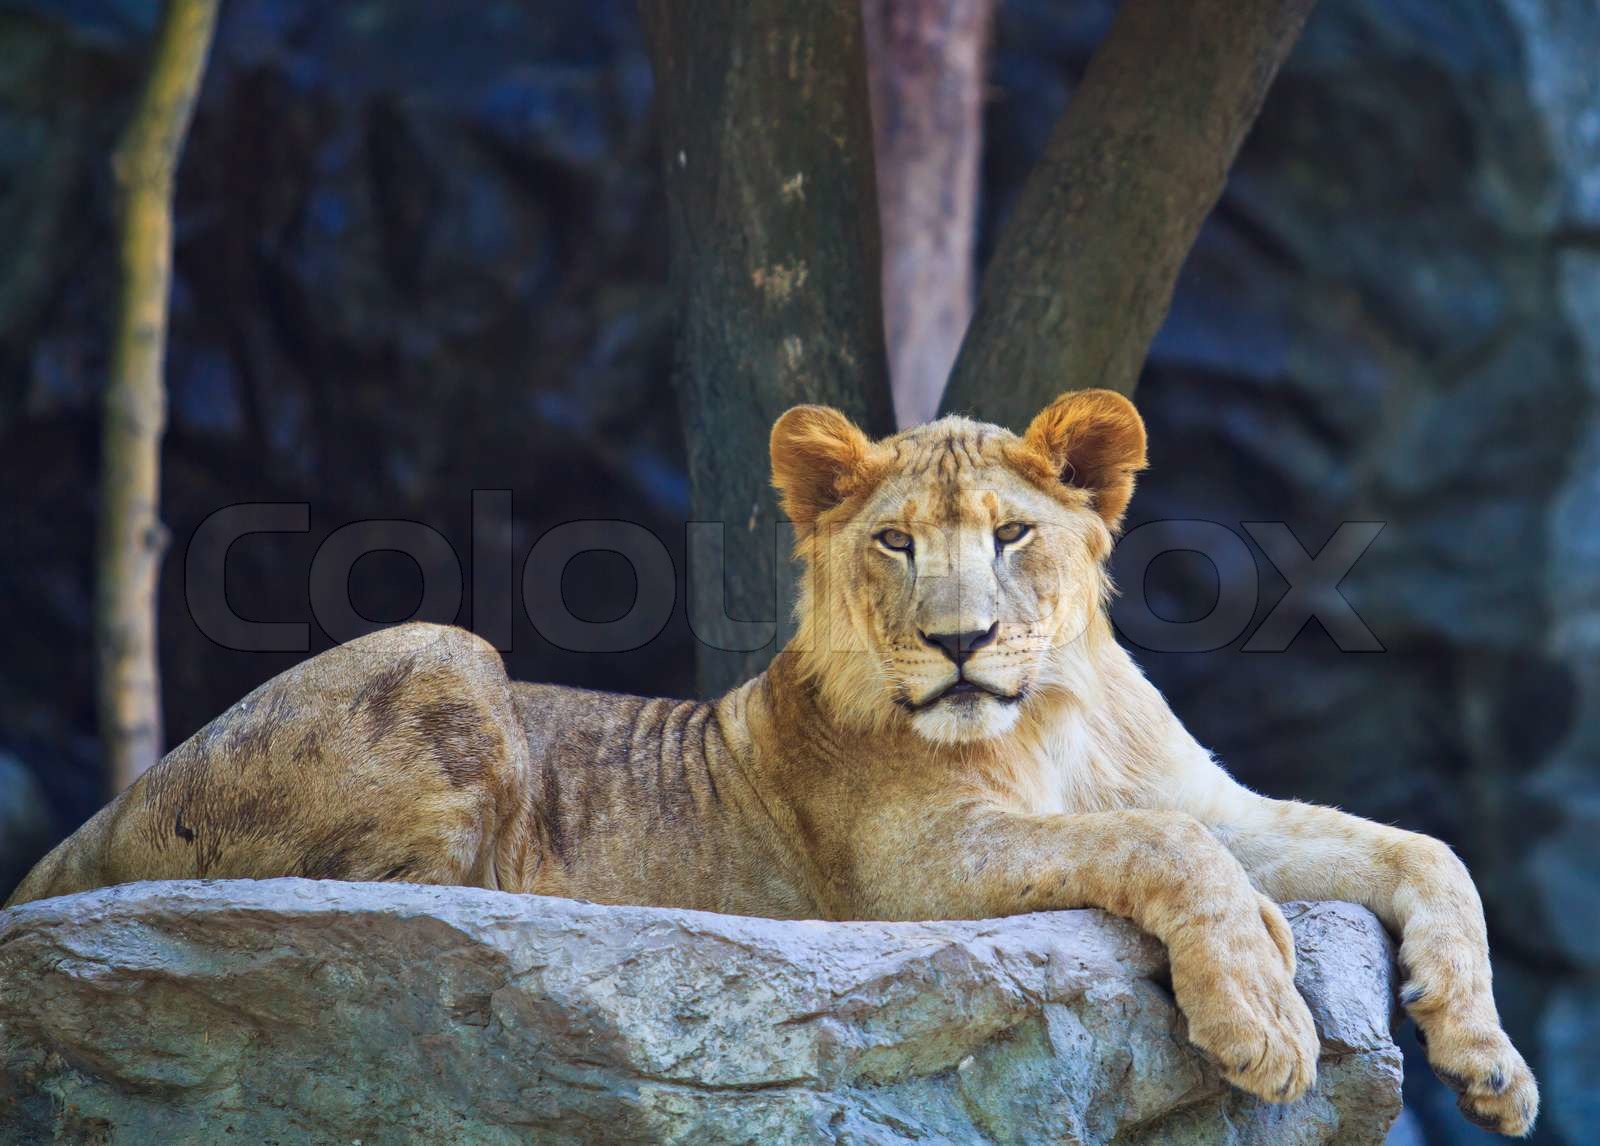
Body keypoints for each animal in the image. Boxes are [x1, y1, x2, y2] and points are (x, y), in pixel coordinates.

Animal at [6, 390, 1536, 1135]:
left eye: (1015, 534)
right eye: (897, 542)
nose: (962, 641)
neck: (1053, 713)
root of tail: (93, 820)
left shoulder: (1204, 795)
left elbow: (1419, 849)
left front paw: (1489, 1061)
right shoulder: (903, 876)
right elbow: (1180, 857)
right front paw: (1266, 1009)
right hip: (447, 648)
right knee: (380, 909)